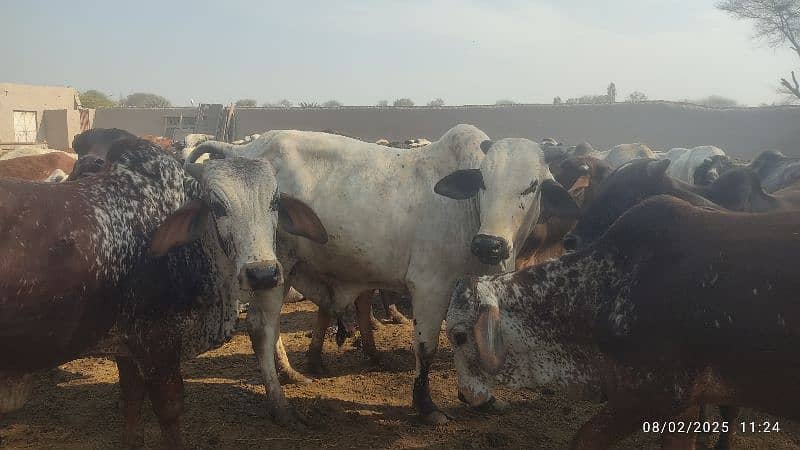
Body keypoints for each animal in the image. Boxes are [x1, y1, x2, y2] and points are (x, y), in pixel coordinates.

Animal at [187, 125, 580, 424]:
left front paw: (481, 397)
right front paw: (426, 406)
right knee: (261, 328)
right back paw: (279, 403)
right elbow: (427, 347)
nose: (489, 245)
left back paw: (290, 374)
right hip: (269, 267)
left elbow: (471, 337)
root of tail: (245, 147)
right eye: (483, 181)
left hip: (281, 272)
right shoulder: (430, 285)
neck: (468, 213)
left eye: (532, 186)